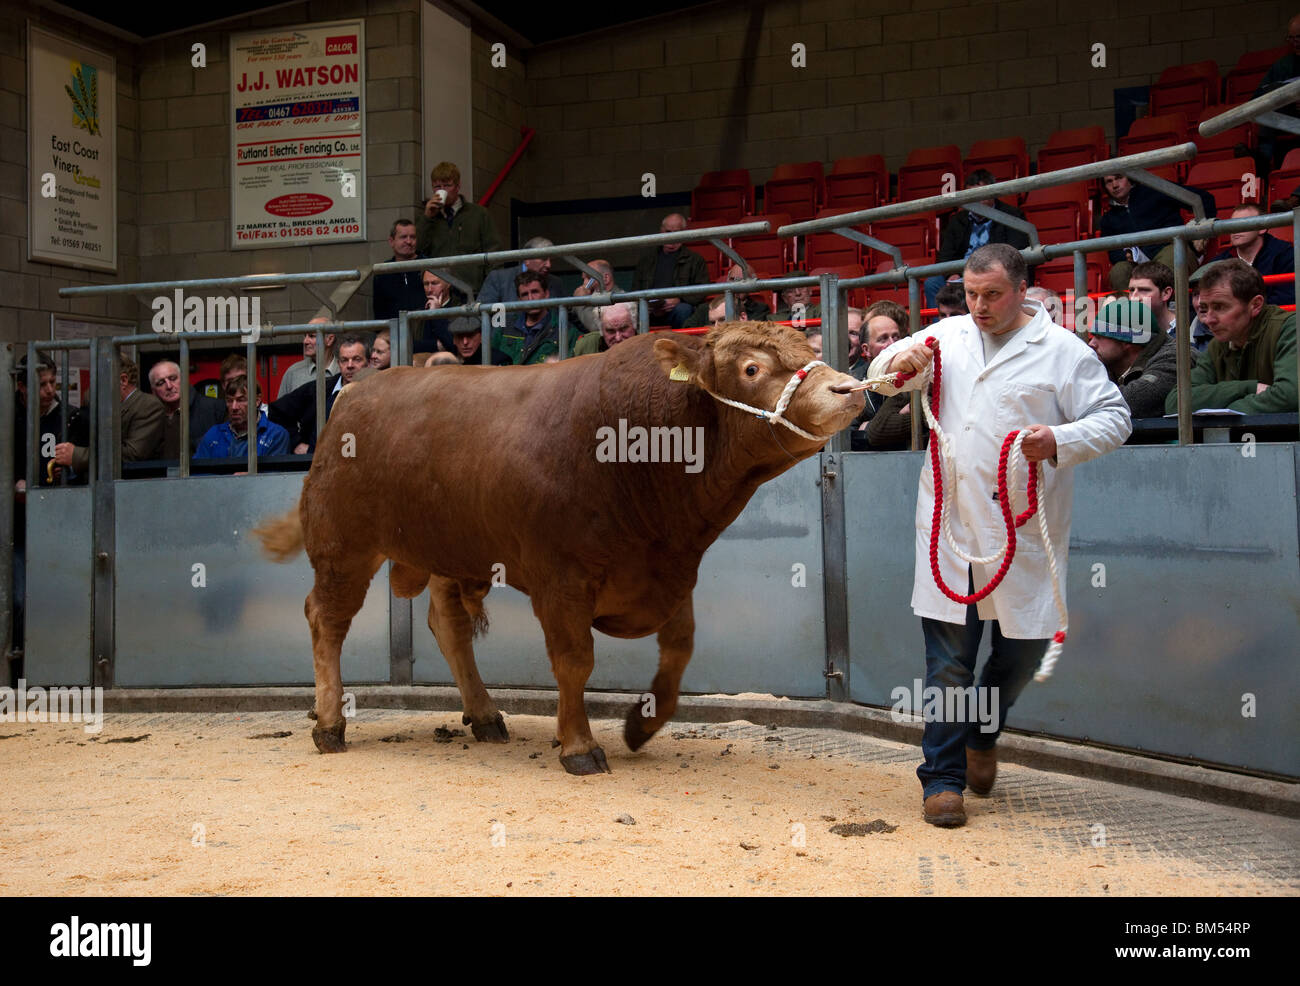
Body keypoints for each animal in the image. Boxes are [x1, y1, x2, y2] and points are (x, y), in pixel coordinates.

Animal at [254, 321, 864, 774]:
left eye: (809, 350)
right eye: (751, 368)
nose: (846, 389)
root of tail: (355, 393)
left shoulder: (669, 569)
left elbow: (679, 651)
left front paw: (640, 727)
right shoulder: (562, 579)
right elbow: (574, 660)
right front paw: (579, 746)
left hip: (449, 550)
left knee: (448, 626)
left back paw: (484, 716)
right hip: (343, 546)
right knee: (327, 619)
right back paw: (330, 724)